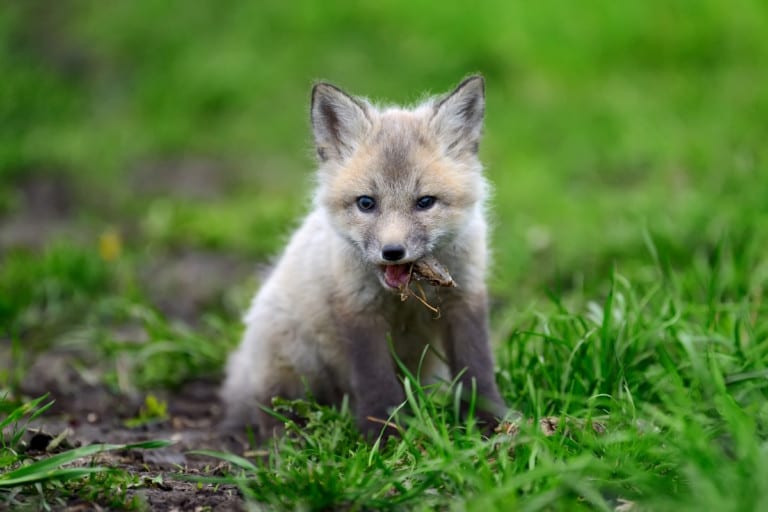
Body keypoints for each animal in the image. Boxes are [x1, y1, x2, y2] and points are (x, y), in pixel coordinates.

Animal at [220, 76, 507, 440]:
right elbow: (376, 383)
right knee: (272, 407)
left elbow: (477, 370)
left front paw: (491, 426)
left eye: (425, 202)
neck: (406, 297)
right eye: (366, 203)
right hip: (293, 360)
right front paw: (385, 438)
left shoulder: (464, 296)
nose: (393, 252)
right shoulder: (357, 309)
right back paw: (284, 441)